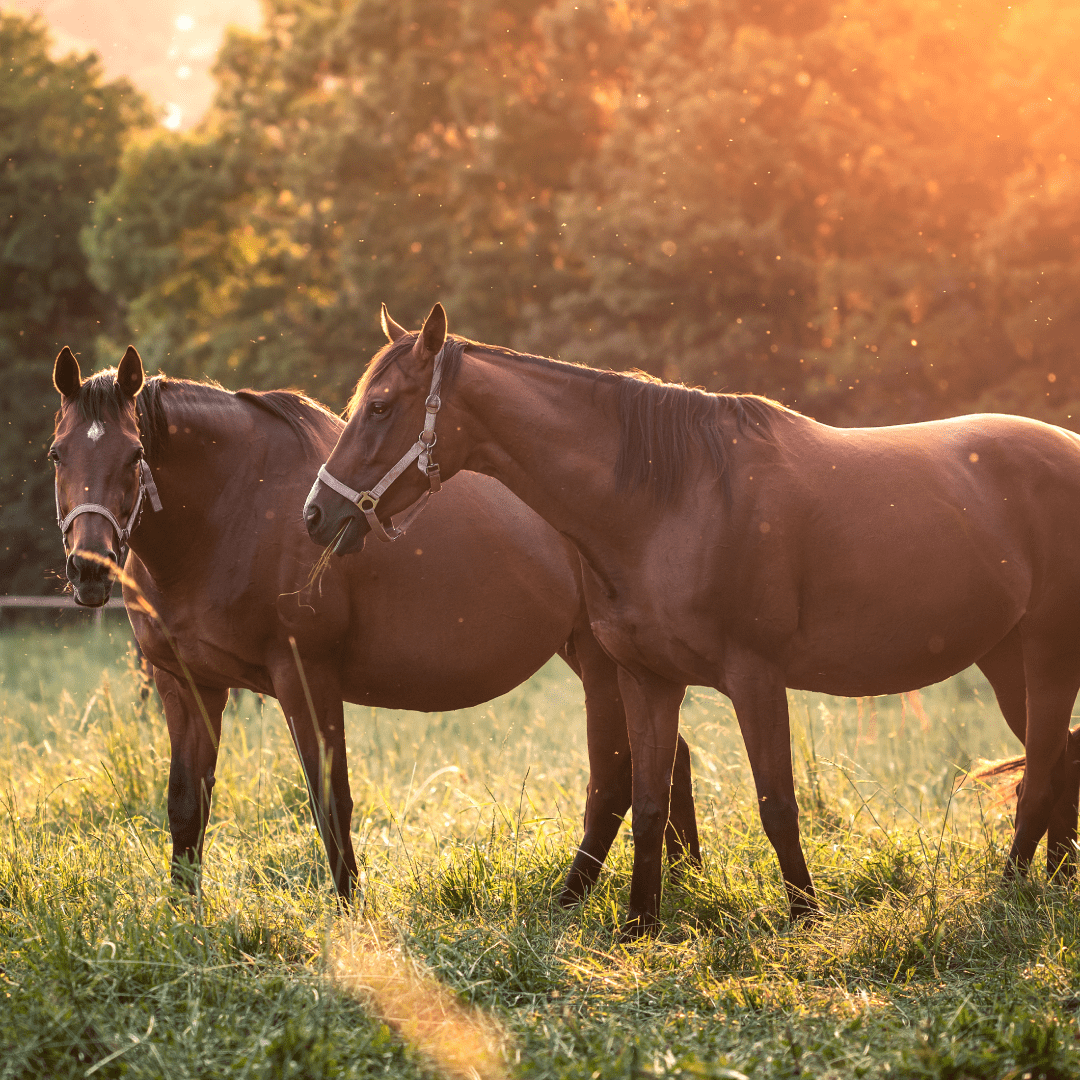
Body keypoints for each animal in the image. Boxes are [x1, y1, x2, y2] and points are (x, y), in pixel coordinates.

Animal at [49, 345, 700, 905]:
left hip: (602, 661)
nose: (90, 567)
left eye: (135, 456)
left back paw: (576, 899)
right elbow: (186, 805)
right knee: (667, 760)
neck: (232, 510)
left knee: (617, 775)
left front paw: (350, 916)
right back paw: (685, 879)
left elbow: (330, 801)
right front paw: (185, 917)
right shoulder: (185, 684)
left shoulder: (305, 676)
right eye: (57, 454)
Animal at [304, 301, 1080, 936]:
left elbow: (776, 802)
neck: (671, 500)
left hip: (1047, 653)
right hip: (1005, 659)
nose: (317, 514)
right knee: (1058, 760)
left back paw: (1012, 892)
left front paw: (806, 919)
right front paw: (638, 927)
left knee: (1043, 768)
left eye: (382, 407)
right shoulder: (647, 679)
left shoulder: (756, 677)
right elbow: (649, 802)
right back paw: (1052, 883)